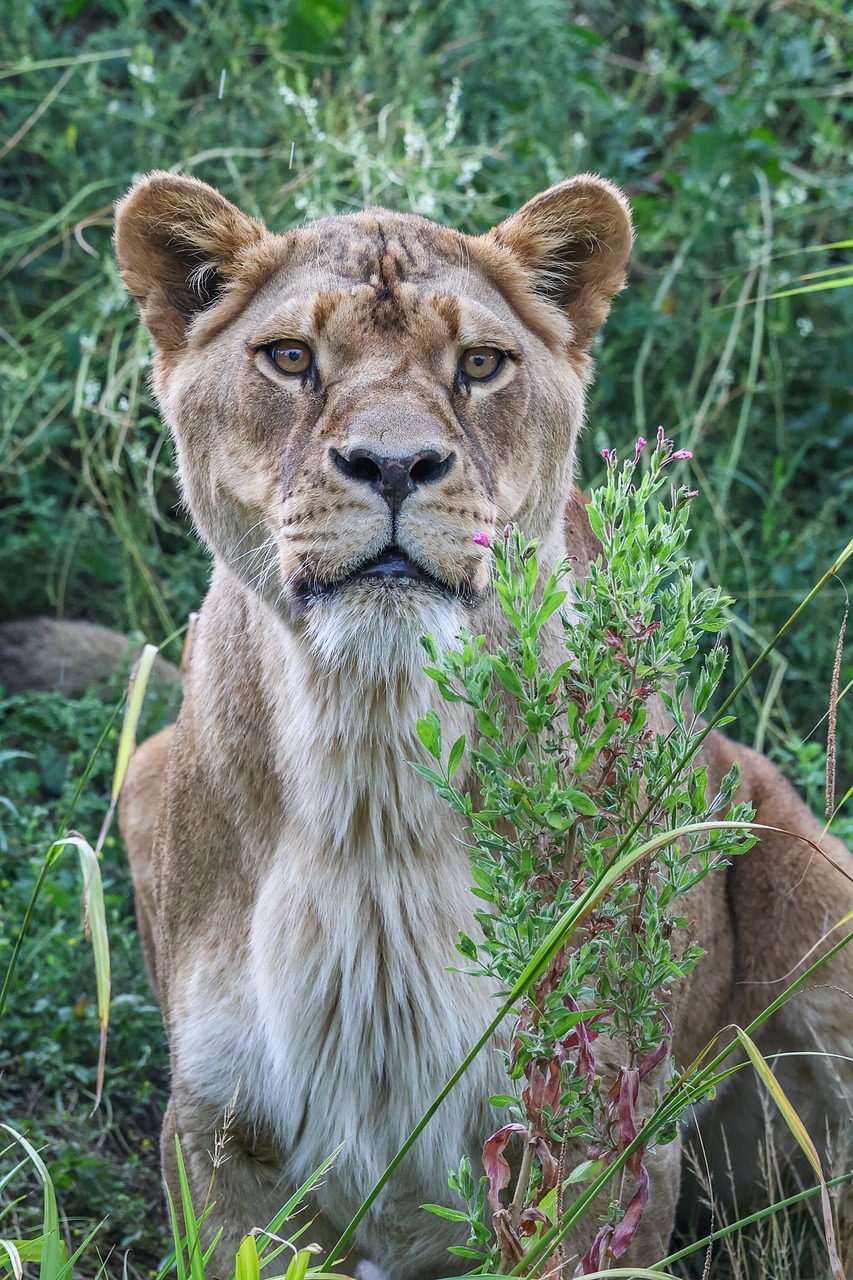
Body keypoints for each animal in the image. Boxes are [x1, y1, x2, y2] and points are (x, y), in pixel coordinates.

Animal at [105, 171, 853, 1278]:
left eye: (480, 364)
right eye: (291, 358)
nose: (393, 463)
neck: (371, 745)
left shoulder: (595, 1128)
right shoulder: (219, 1136)